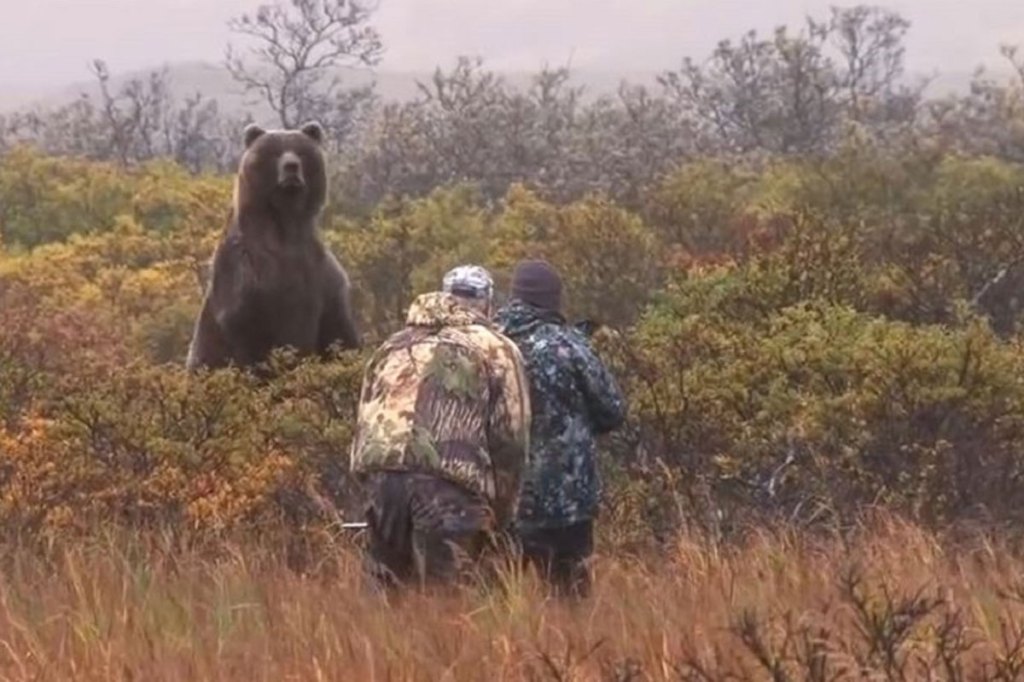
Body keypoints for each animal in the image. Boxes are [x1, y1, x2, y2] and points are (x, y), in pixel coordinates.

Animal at [185, 120, 361, 373]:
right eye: (274, 152)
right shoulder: (248, 283)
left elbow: (339, 333)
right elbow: (252, 340)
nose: (291, 167)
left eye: (301, 151)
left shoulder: (322, 280)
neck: (285, 229)